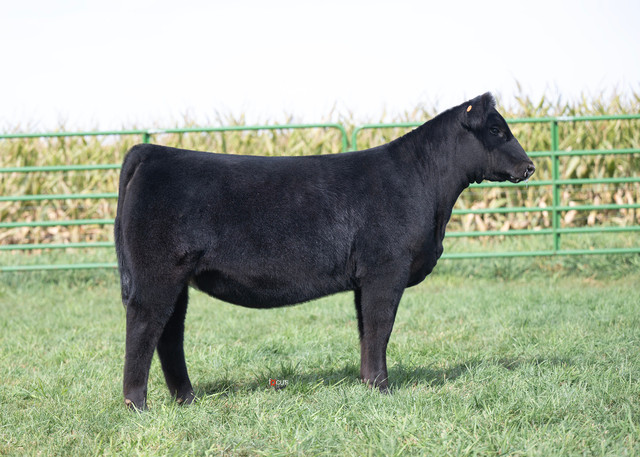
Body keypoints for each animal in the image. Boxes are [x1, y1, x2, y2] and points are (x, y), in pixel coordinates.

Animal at [114, 92, 535, 409]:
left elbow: (366, 331)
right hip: (157, 275)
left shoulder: (364, 278)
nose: (530, 166)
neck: (425, 187)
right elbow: (380, 328)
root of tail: (151, 151)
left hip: (178, 279)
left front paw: (368, 384)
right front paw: (383, 388)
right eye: (496, 129)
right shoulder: (385, 269)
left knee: (170, 334)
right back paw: (138, 405)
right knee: (143, 329)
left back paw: (186, 398)